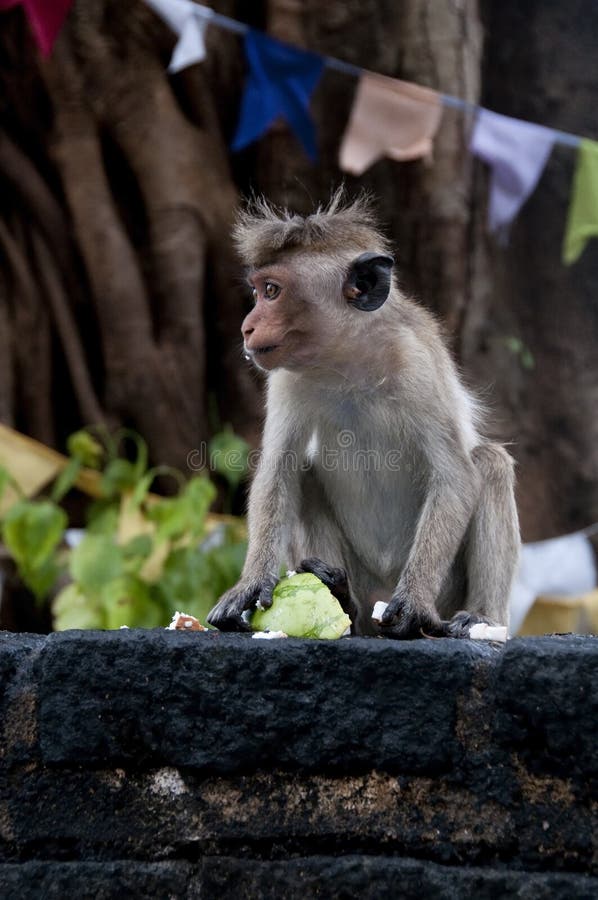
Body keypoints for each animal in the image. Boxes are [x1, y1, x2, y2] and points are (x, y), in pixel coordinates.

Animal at [207, 191, 520, 639]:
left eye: (271, 291)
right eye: (258, 292)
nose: (247, 327)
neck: (348, 362)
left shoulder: (417, 365)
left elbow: (455, 475)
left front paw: (414, 601)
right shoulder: (286, 380)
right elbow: (279, 470)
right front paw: (250, 584)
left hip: (446, 591)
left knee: (489, 462)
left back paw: (481, 619)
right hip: (364, 582)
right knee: (305, 474)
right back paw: (340, 595)